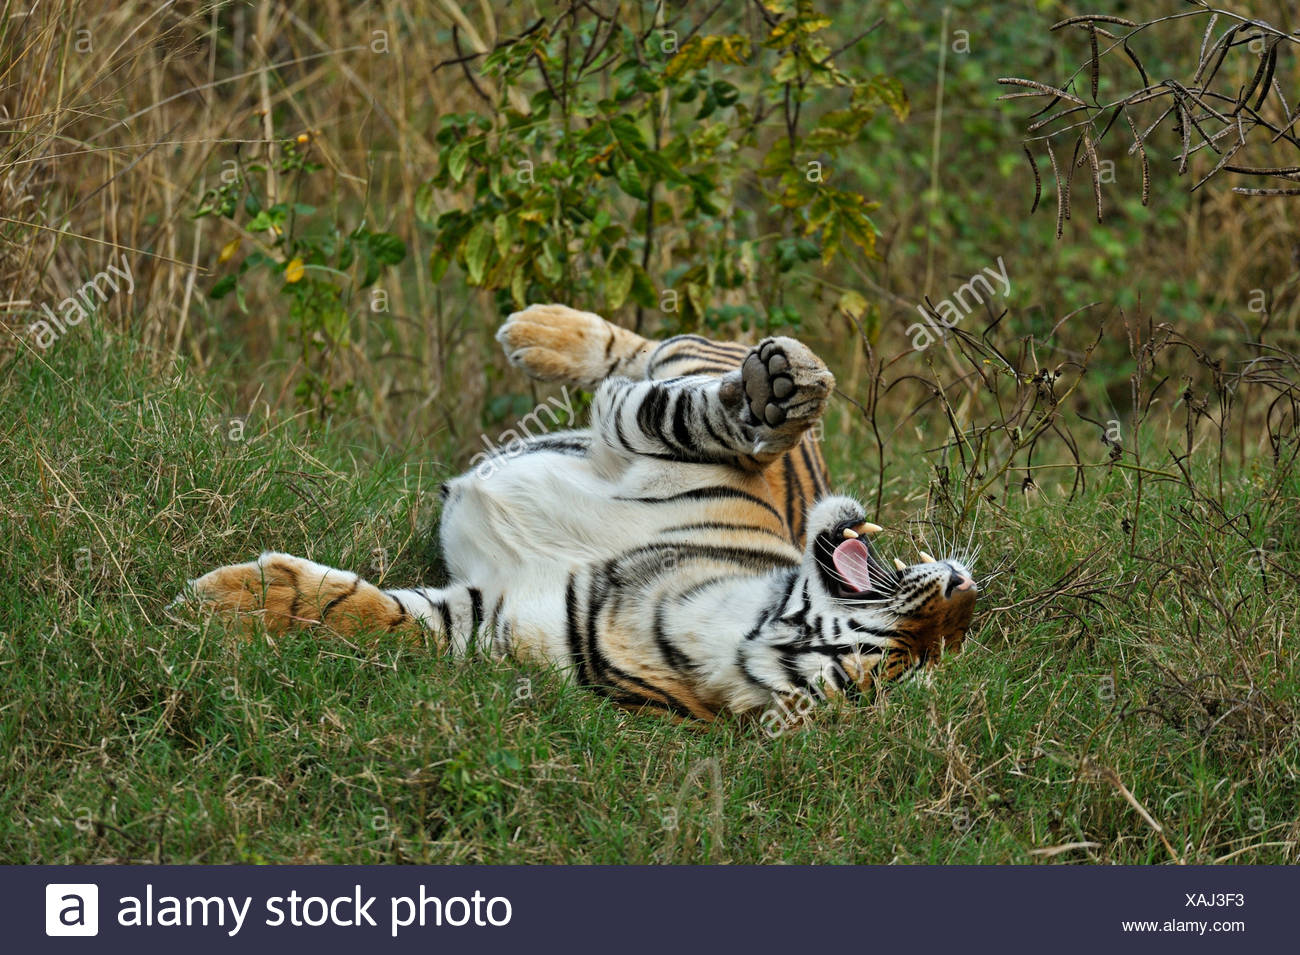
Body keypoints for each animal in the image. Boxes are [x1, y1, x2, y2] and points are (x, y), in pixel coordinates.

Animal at [183, 303, 978, 725]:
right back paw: (542, 331)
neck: (714, 620)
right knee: (655, 350)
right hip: (692, 357)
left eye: (909, 660)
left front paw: (223, 599)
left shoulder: (485, 618)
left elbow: (379, 616)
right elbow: (687, 414)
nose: (964, 591)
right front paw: (237, 598)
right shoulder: (679, 444)